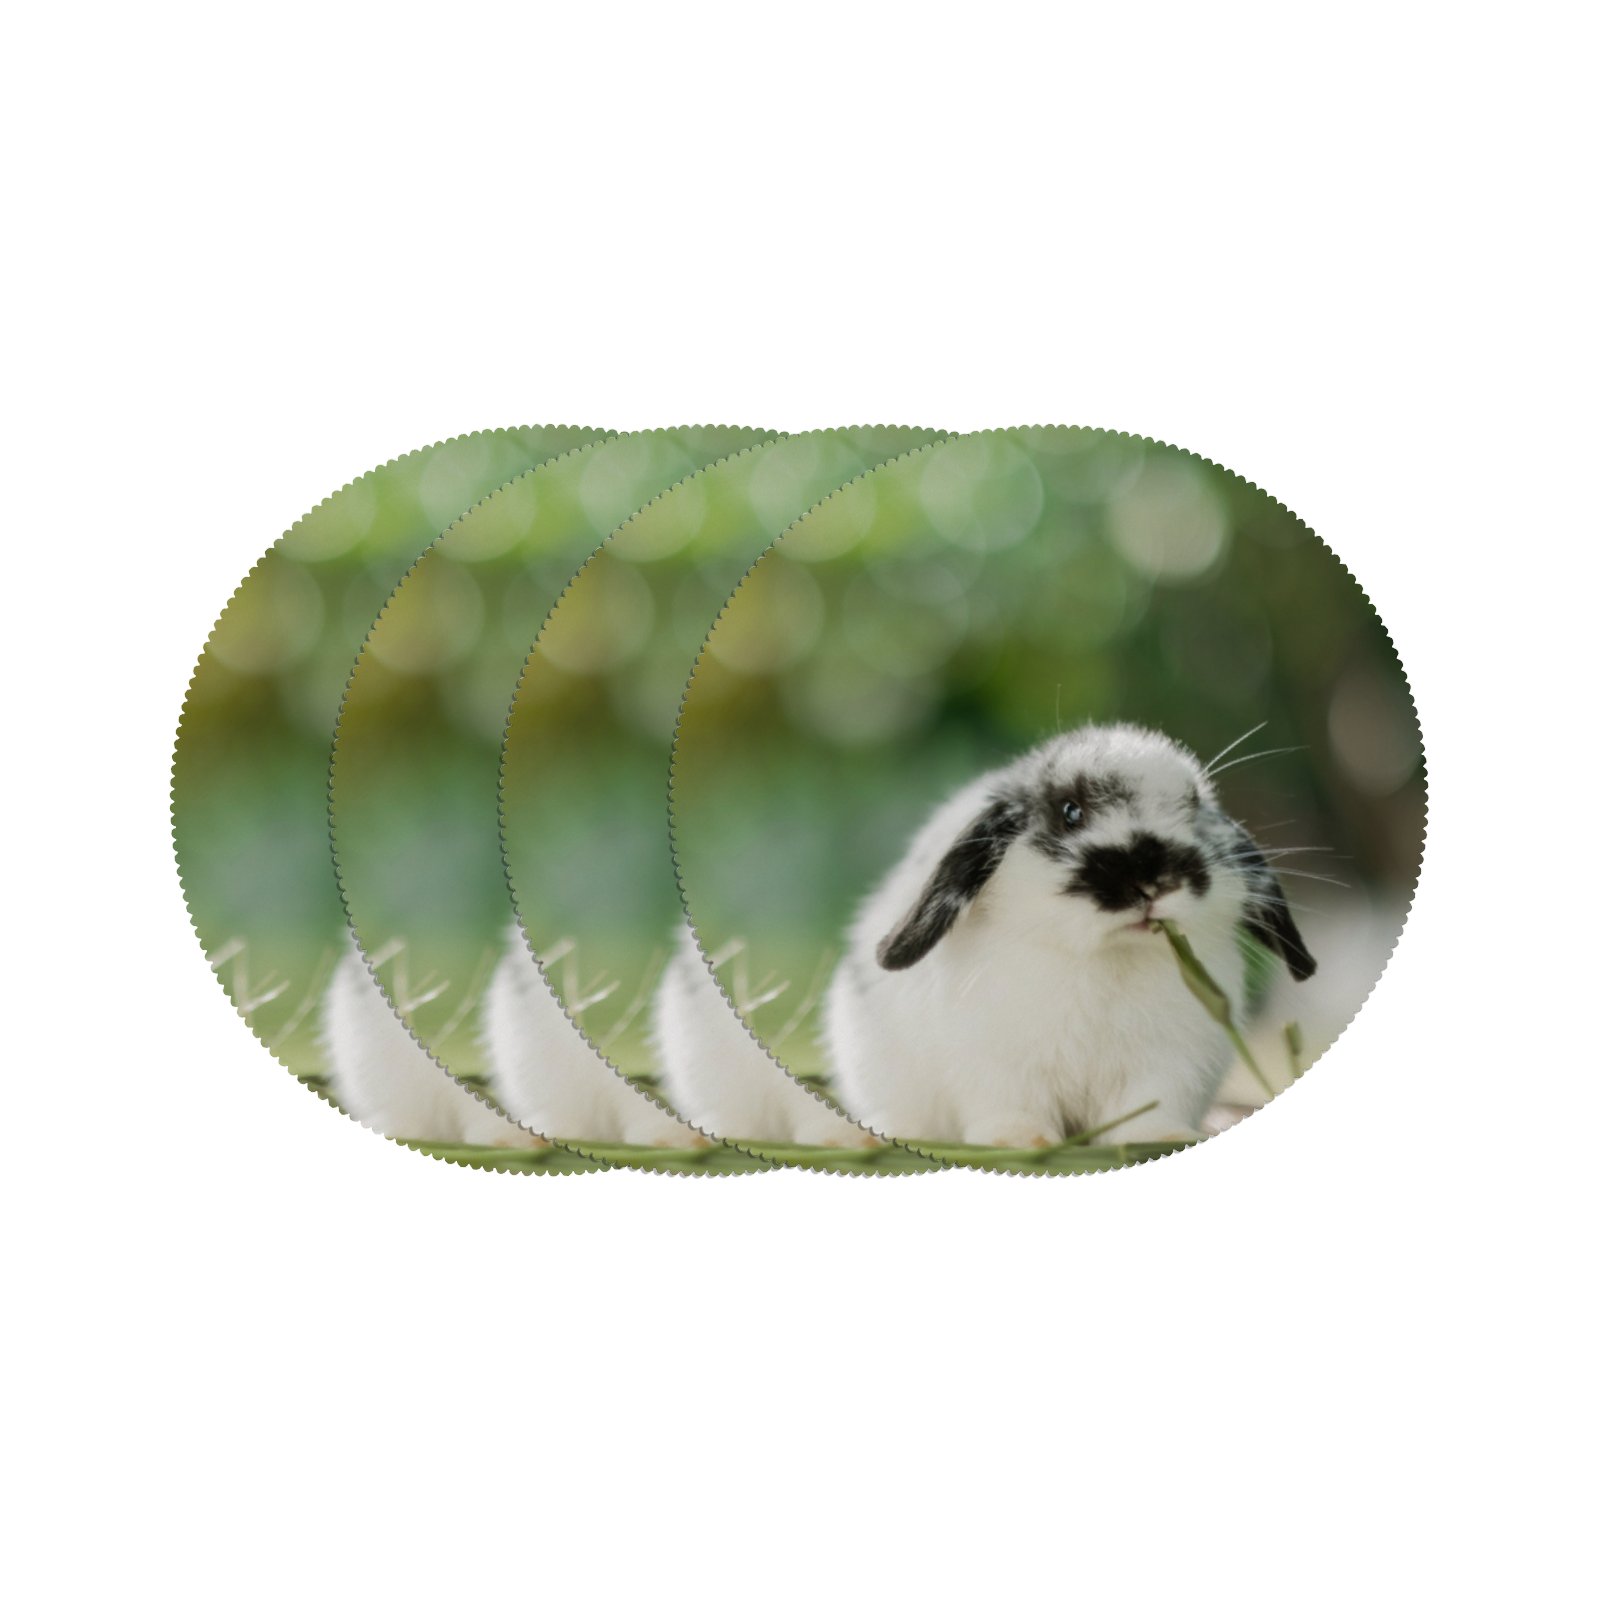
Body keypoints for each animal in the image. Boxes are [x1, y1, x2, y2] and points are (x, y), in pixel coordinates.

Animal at [824, 723, 1316, 1147]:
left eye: (1192, 808)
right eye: (1070, 812)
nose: (1152, 882)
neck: (1105, 957)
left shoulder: (1167, 1066)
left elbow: (1149, 1110)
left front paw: (1162, 1138)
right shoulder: (998, 1066)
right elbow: (1013, 1109)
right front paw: (1019, 1141)